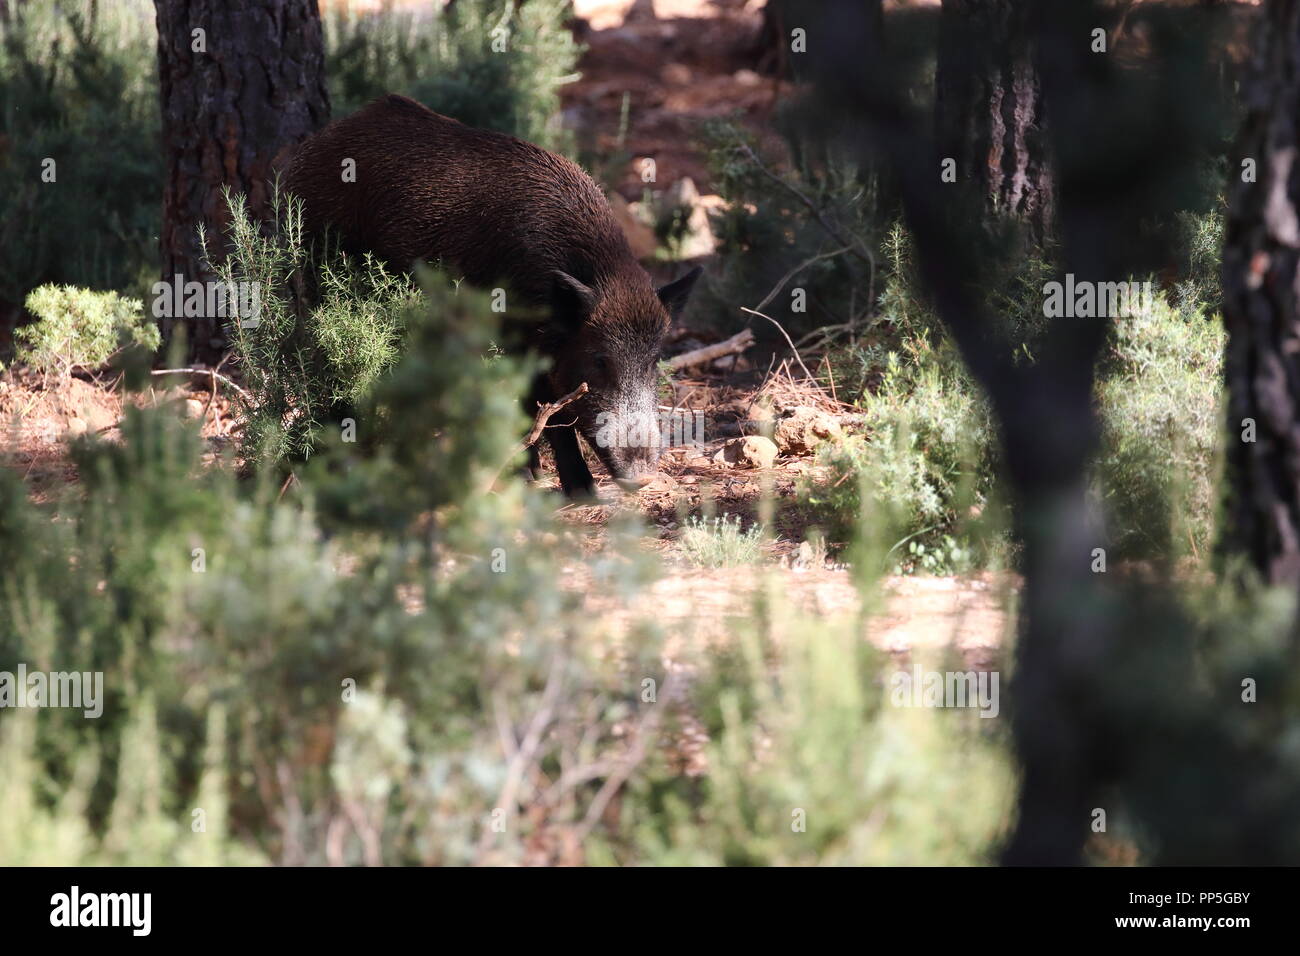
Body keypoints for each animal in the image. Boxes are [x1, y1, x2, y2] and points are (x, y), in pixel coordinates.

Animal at [281, 94, 701, 496]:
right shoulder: (519, 336)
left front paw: (535, 474)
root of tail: (300, 157)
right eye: (600, 360)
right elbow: (544, 407)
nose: (642, 478)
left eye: (653, 361)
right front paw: (576, 490)